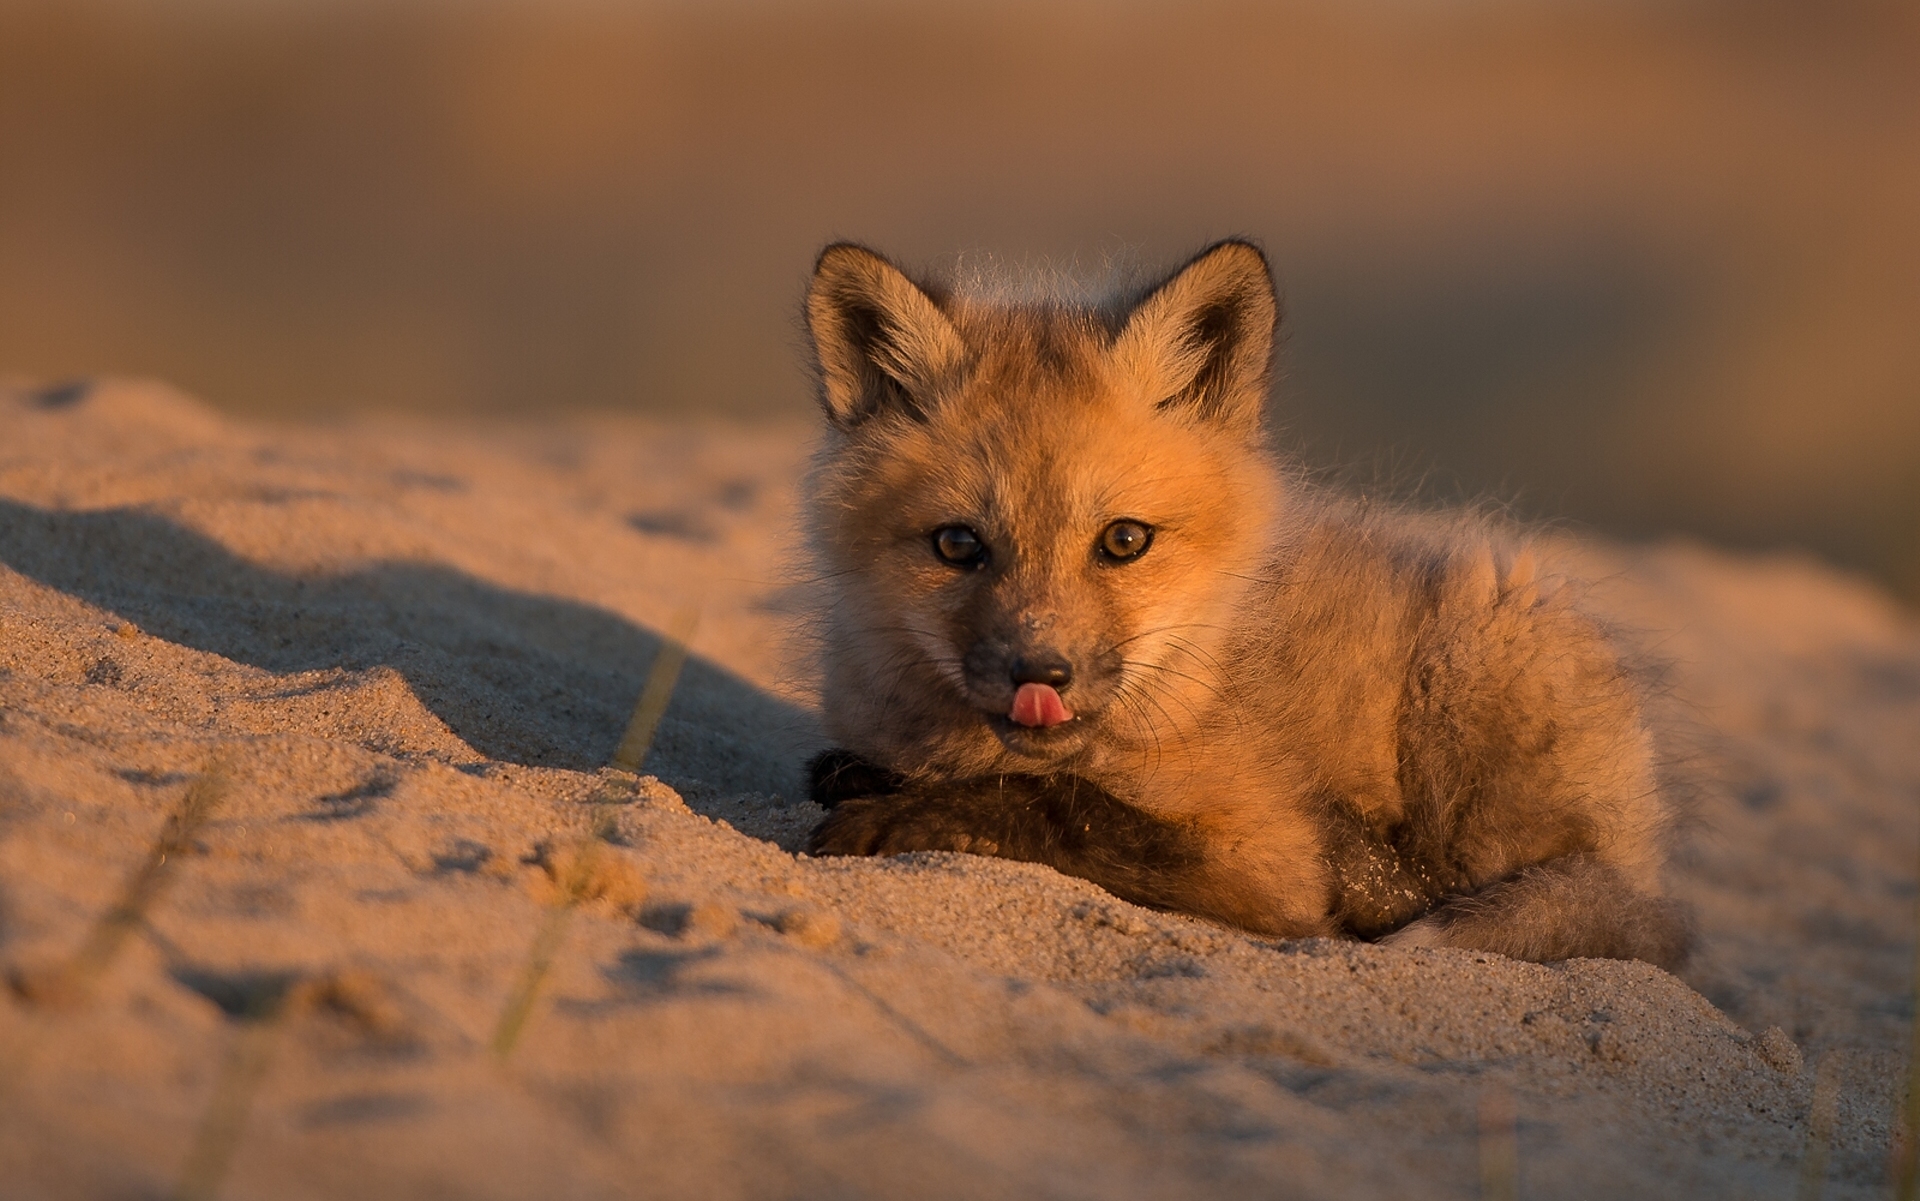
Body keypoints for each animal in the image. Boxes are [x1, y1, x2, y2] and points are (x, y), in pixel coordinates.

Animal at [798, 238, 1690, 969]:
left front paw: (905, 814)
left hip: (1476, 666)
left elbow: (1067, 804)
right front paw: (881, 781)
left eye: (1124, 540)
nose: (1039, 673)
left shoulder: (1266, 861)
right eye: (958, 545)